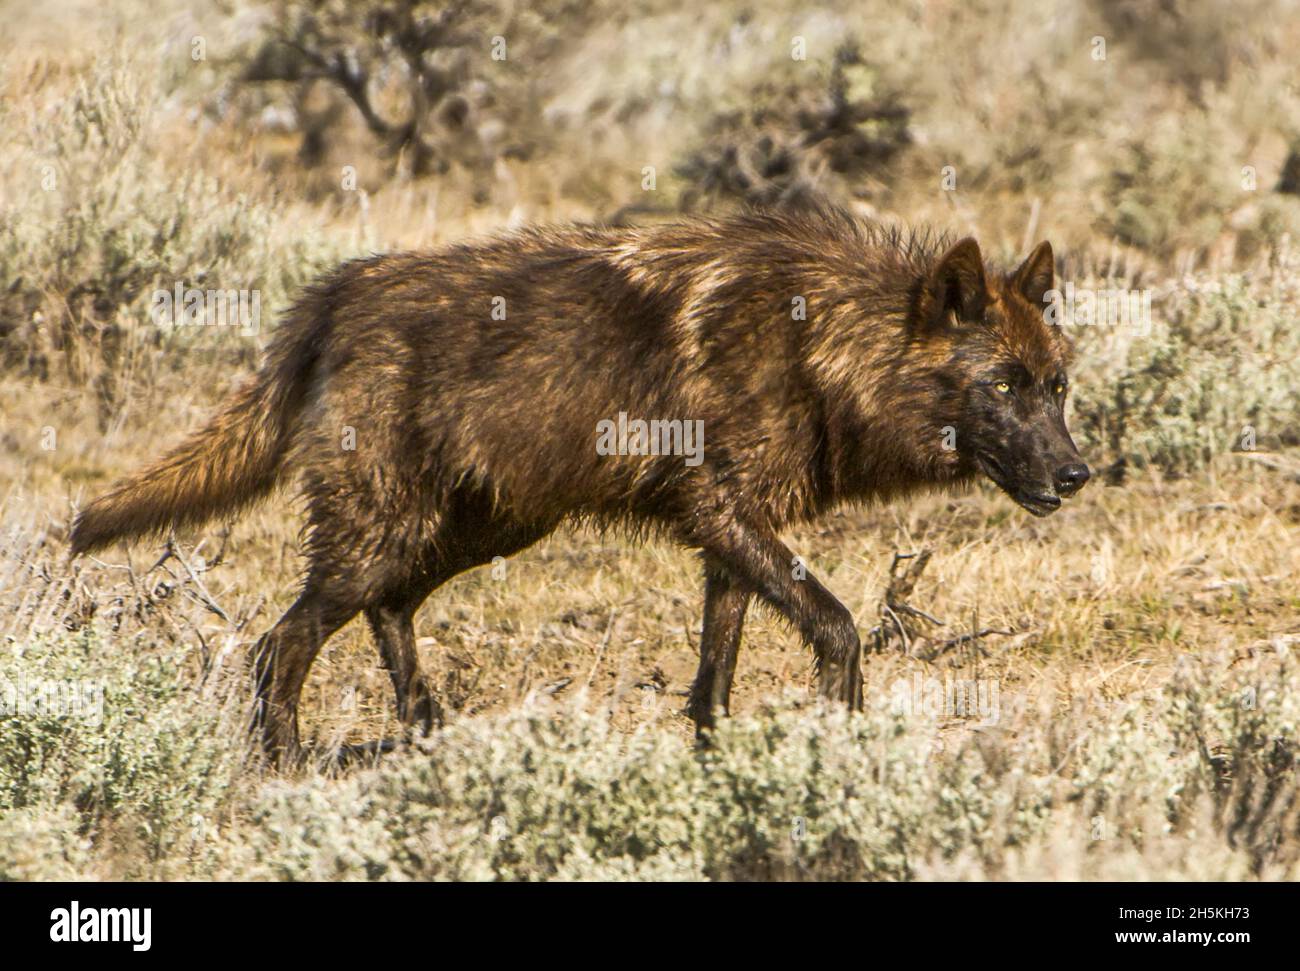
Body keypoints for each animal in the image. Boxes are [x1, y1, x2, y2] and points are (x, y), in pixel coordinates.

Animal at [70, 206, 1089, 762]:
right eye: (1003, 386)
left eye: (1057, 386)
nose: (1078, 473)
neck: (821, 344)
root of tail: (334, 292)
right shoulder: (726, 515)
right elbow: (838, 627)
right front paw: (838, 754)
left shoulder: (729, 537)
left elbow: (714, 678)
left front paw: (723, 770)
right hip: (384, 536)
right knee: (279, 644)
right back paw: (287, 770)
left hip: (481, 531)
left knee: (387, 612)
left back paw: (431, 737)